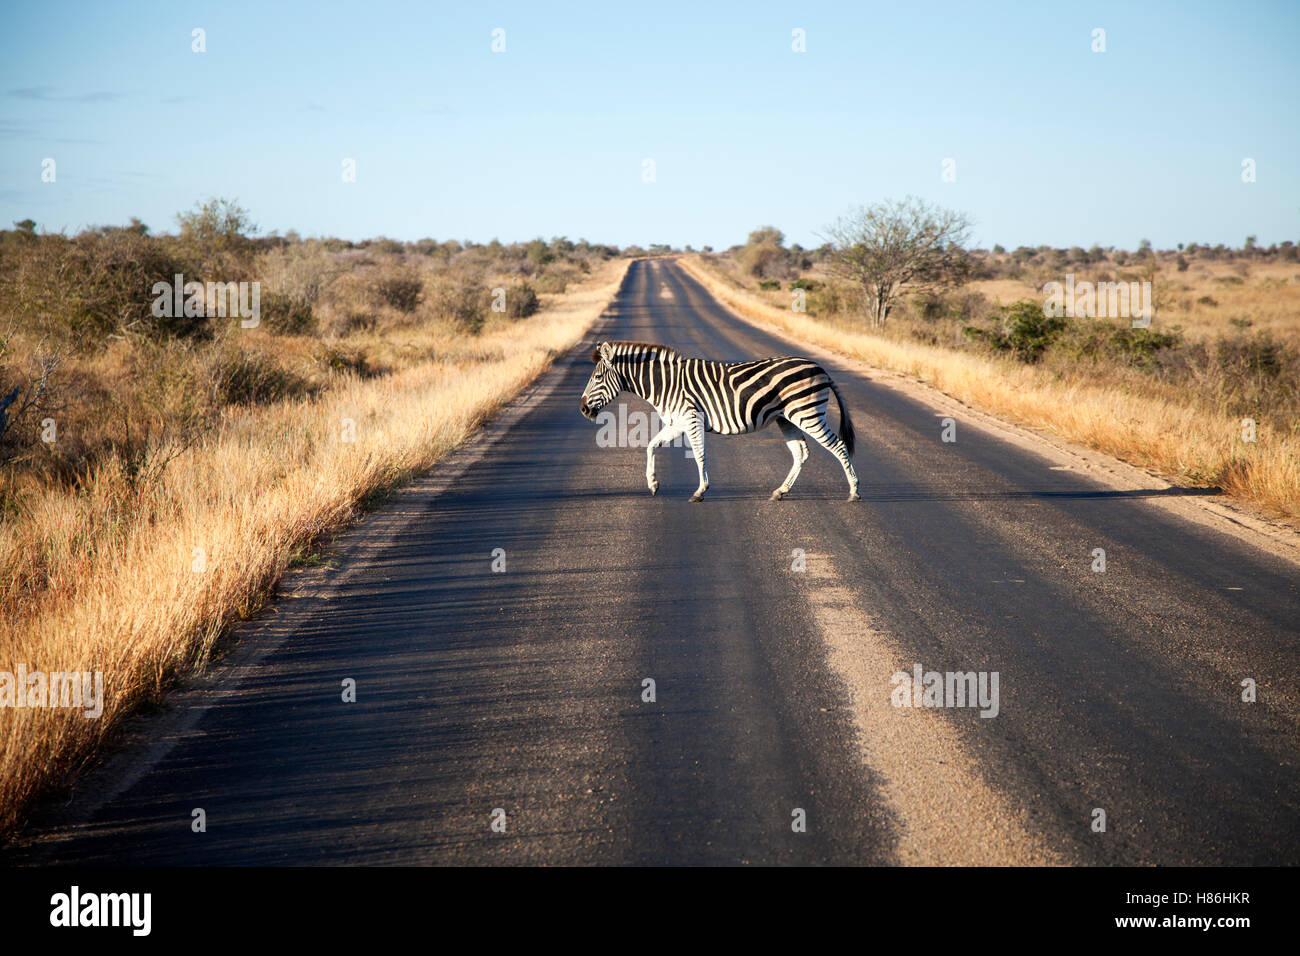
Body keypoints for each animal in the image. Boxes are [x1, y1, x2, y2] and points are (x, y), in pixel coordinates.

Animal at [578, 340, 859, 502]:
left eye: (597, 378)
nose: (582, 409)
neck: (665, 384)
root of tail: (820, 368)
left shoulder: (691, 418)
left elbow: (699, 454)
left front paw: (700, 491)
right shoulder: (677, 423)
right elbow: (651, 445)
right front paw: (653, 484)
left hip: (807, 413)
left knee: (839, 446)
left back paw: (854, 492)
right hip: (788, 419)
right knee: (801, 453)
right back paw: (781, 491)